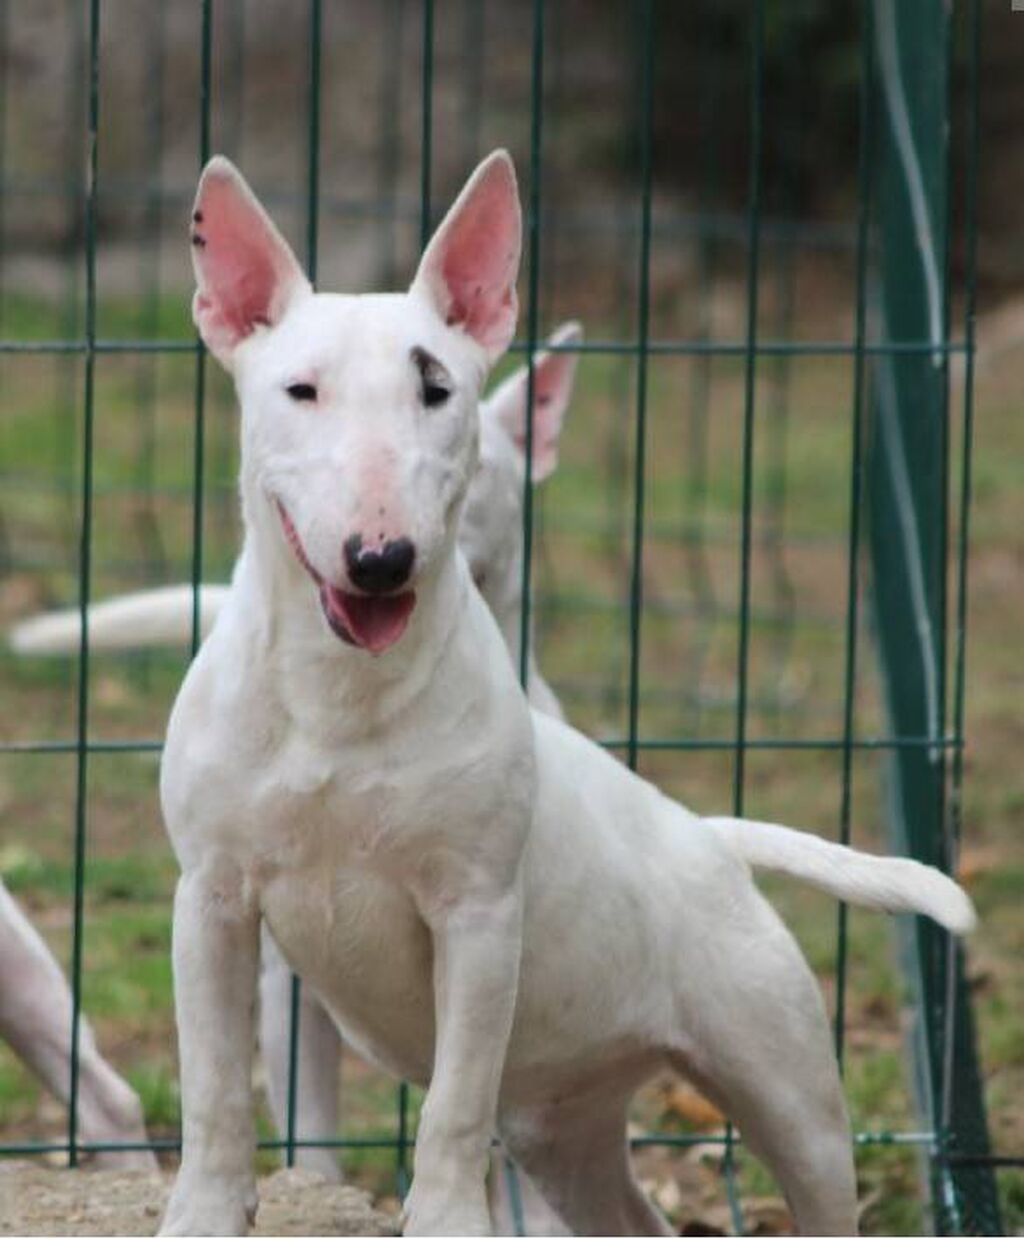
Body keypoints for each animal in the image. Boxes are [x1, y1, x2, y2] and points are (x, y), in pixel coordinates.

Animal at [147, 149, 971, 1234]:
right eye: (300, 389)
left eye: (436, 386)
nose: (381, 559)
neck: (341, 698)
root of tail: (709, 836)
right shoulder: (213, 900)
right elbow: (212, 1088)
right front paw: (203, 1210)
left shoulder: (479, 916)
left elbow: (451, 1106)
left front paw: (445, 1222)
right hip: (558, 1126)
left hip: (787, 1087)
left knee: (815, 1179)